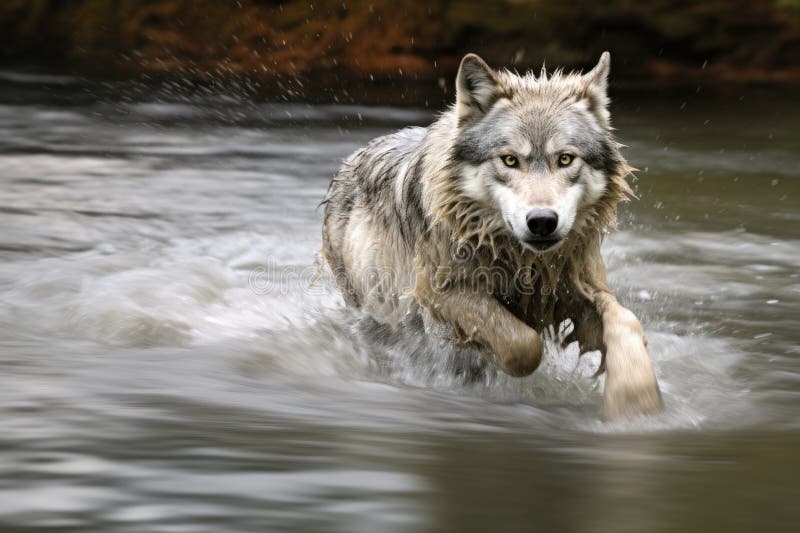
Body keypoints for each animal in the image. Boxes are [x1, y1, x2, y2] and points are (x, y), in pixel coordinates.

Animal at [321, 52, 661, 419]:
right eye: (510, 160)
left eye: (565, 158)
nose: (542, 221)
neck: (522, 263)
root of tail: (350, 161)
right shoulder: (440, 292)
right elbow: (523, 344)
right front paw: (488, 356)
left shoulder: (578, 287)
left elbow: (628, 322)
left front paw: (635, 398)